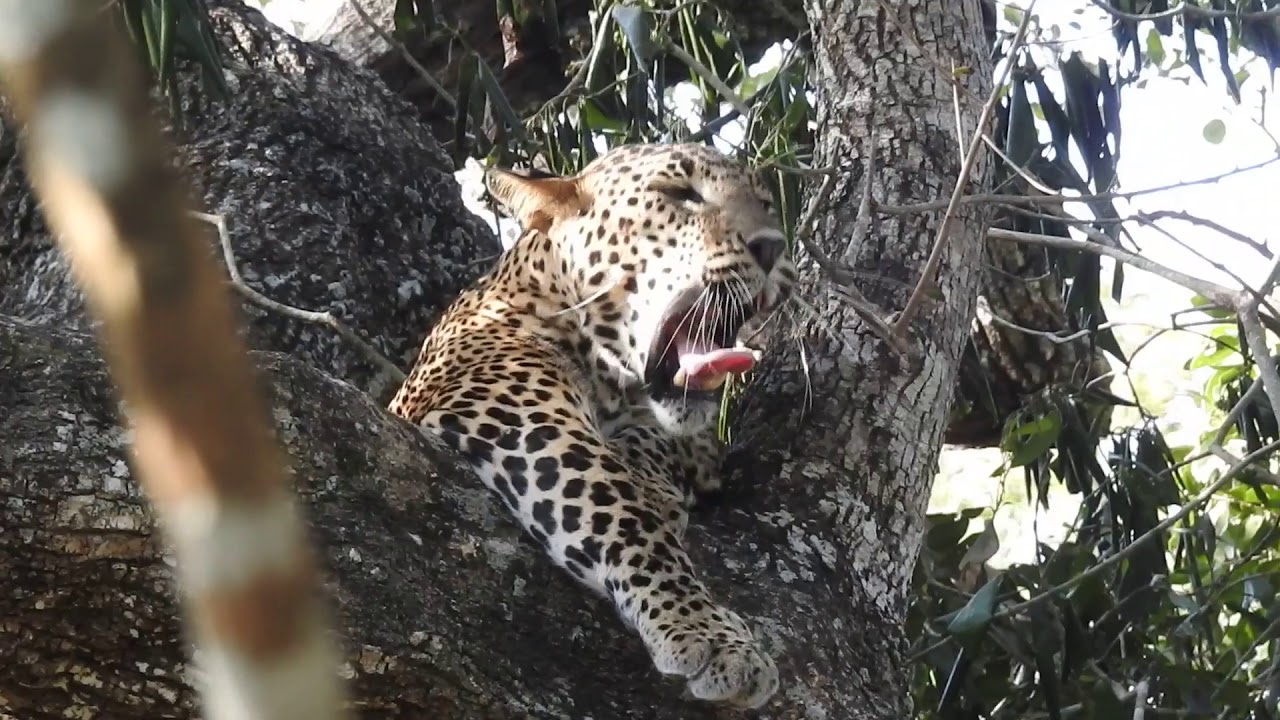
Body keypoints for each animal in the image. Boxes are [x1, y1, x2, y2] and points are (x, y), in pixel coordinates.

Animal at [388, 142, 795, 709]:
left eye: (765, 203)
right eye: (681, 194)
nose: (773, 247)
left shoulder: (691, 433)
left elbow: (664, 441)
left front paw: (654, 481)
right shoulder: (509, 407)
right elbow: (625, 512)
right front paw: (707, 634)